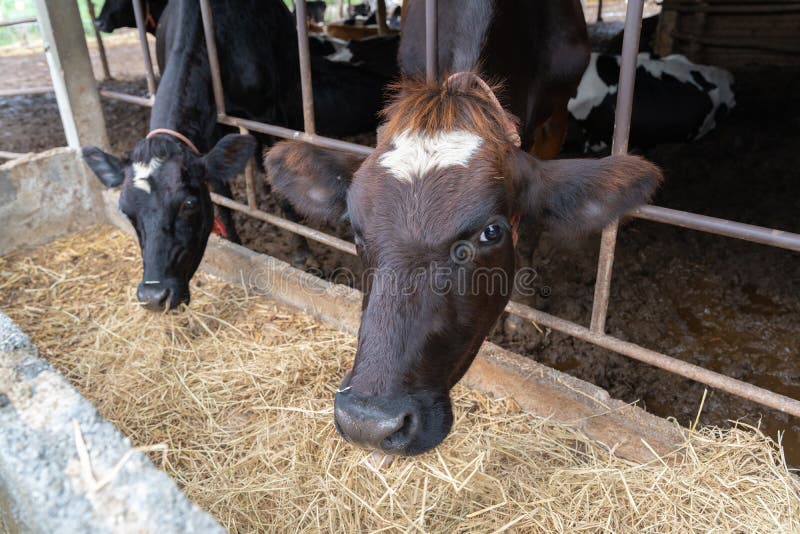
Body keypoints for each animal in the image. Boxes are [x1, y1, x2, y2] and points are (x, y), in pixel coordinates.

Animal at [82, 0, 388, 311]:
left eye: (188, 203)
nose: (153, 297)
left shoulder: (268, 115)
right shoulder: (209, 134)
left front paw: (304, 256)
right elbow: (224, 196)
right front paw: (235, 241)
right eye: (125, 210)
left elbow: (281, 193)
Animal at [265, 0, 663, 456]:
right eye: (356, 230)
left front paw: (522, 311)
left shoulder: (557, 116)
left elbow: (532, 229)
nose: (368, 422)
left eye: (491, 233)